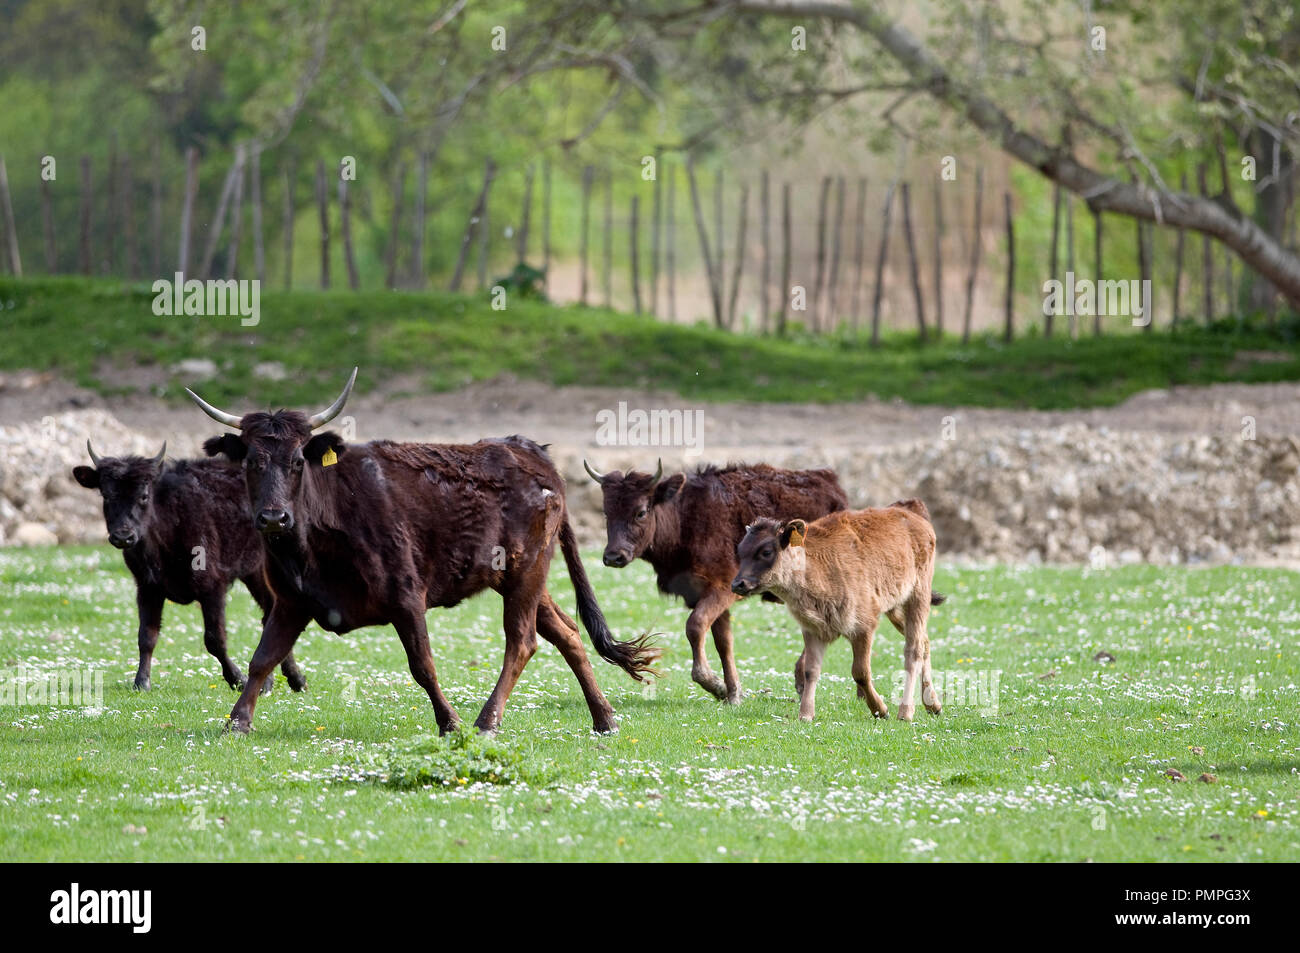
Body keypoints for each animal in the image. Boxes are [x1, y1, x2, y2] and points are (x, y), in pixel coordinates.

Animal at [72, 441, 306, 694]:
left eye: (144, 495)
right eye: (106, 495)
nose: (123, 536)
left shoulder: (212, 588)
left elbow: (214, 639)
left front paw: (238, 679)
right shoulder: (147, 588)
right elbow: (146, 636)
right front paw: (141, 681)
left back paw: (293, 680)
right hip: (253, 574)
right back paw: (274, 682)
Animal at [188, 368, 658, 735]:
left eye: (297, 462)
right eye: (251, 462)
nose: (273, 518)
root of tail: (530, 451)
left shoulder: (406, 596)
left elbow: (422, 664)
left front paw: (449, 721)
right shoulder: (290, 601)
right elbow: (262, 659)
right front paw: (237, 721)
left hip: (526, 573)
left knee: (522, 641)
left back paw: (487, 720)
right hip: (521, 578)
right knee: (568, 632)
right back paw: (604, 718)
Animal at [583, 459, 847, 704]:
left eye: (641, 511)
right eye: (607, 512)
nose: (613, 556)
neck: (683, 521)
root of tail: (833, 484)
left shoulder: (723, 588)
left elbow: (696, 625)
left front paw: (711, 682)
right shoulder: (706, 595)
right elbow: (723, 642)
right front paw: (731, 692)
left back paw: (801, 679)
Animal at [730, 500, 946, 722]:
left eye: (766, 552)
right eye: (740, 550)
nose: (737, 584)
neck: (815, 567)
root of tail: (912, 513)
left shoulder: (863, 627)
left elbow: (860, 672)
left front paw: (881, 710)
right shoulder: (813, 630)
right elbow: (811, 670)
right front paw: (805, 715)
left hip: (918, 597)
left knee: (914, 649)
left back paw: (905, 712)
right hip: (895, 608)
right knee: (925, 642)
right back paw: (933, 705)